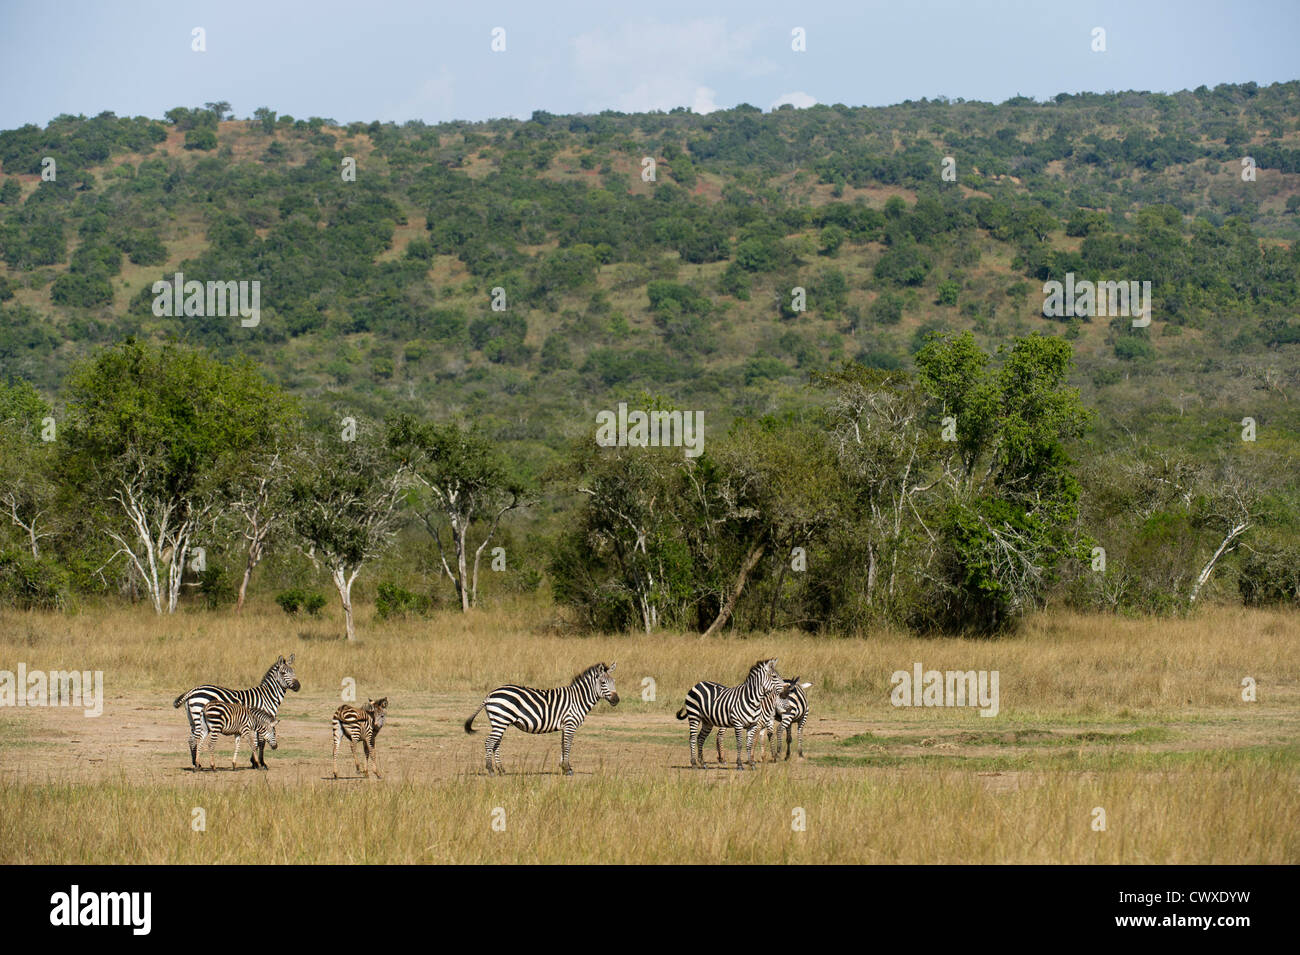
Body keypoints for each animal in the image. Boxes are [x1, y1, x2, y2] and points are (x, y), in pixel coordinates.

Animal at [464, 662, 618, 776]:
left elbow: (563, 745)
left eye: (614, 682)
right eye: (603, 682)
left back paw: (501, 769)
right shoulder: (570, 724)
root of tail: (490, 694)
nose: (617, 700)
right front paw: (568, 769)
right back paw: (490, 770)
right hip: (501, 720)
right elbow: (568, 745)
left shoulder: (565, 726)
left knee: (496, 744)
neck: (578, 699)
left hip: (499, 722)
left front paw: (563, 767)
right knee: (489, 742)